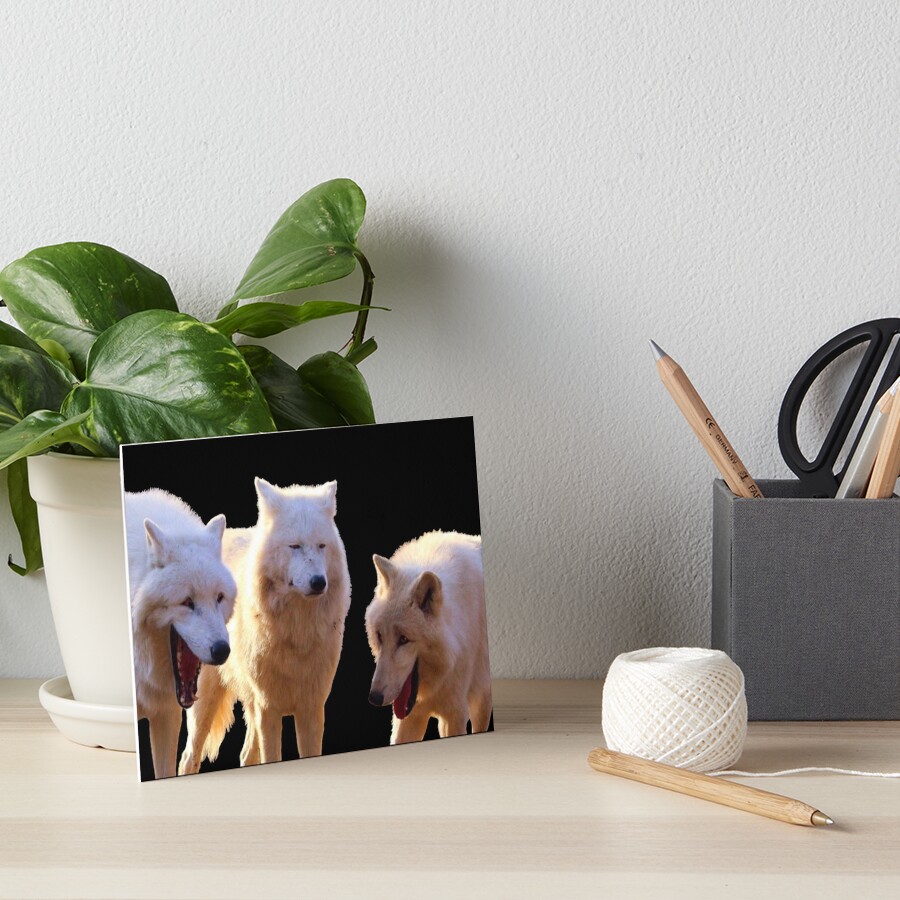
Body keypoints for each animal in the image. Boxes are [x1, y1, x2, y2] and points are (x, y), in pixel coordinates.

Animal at [179, 478, 351, 773]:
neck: (297, 633)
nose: (319, 582)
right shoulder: (268, 708)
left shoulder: (312, 708)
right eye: (294, 546)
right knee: (189, 757)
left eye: (321, 546)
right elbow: (272, 756)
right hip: (206, 703)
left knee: (246, 755)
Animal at [365, 531, 492, 744]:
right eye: (380, 636)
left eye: (404, 639)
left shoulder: (456, 714)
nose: (374, 697)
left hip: (480, 701)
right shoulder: (410, 716)